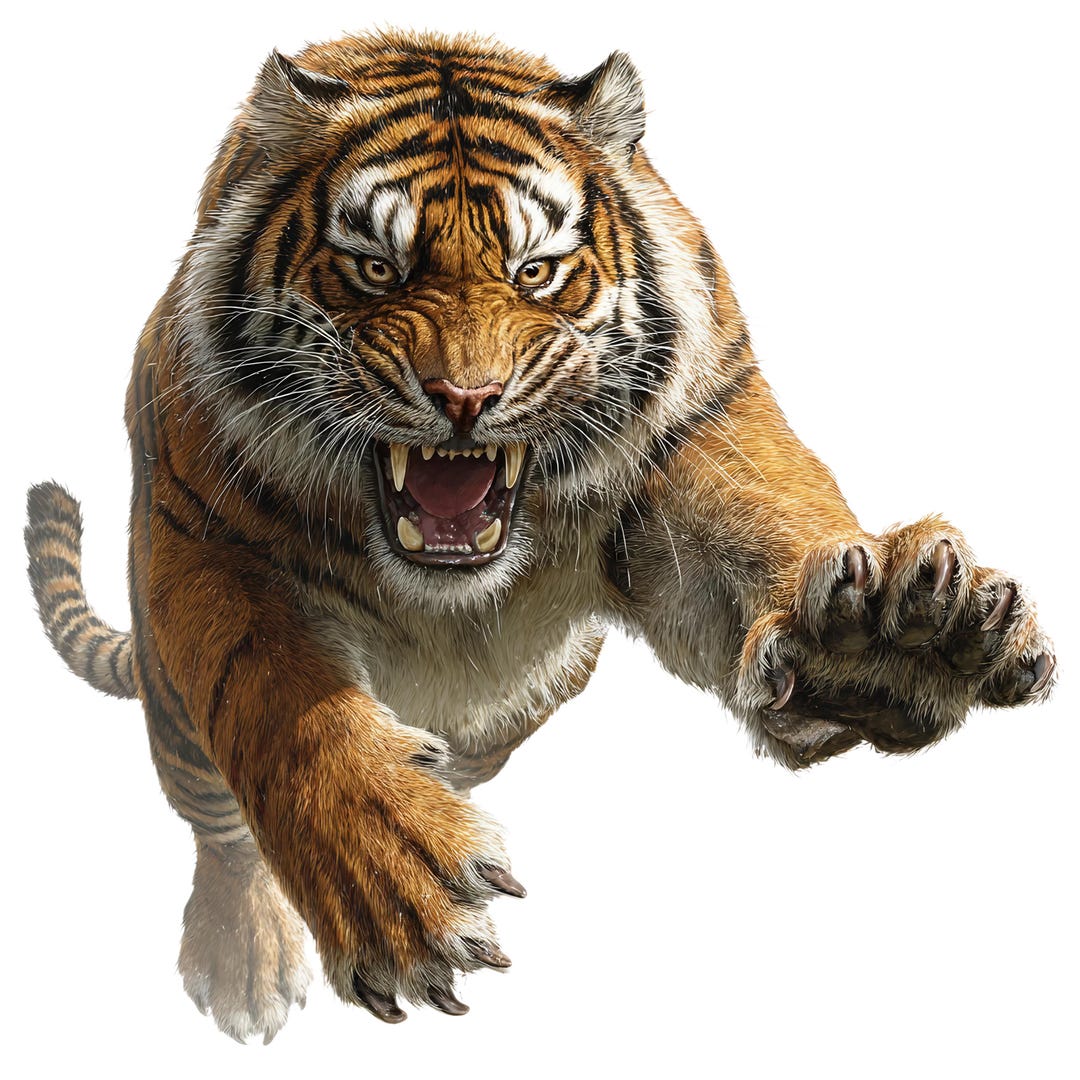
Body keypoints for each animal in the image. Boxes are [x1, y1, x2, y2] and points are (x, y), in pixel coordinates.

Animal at [24, 28, 1056, 1043]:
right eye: (377, 269)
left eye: (534, 272)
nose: (465, 397)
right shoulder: (201, 532)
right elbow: (280, 698)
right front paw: (398, 879)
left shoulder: (696, 435)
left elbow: (765, 519)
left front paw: (895, 635)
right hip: (175, 712)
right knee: (218, 825)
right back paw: (242, 959)